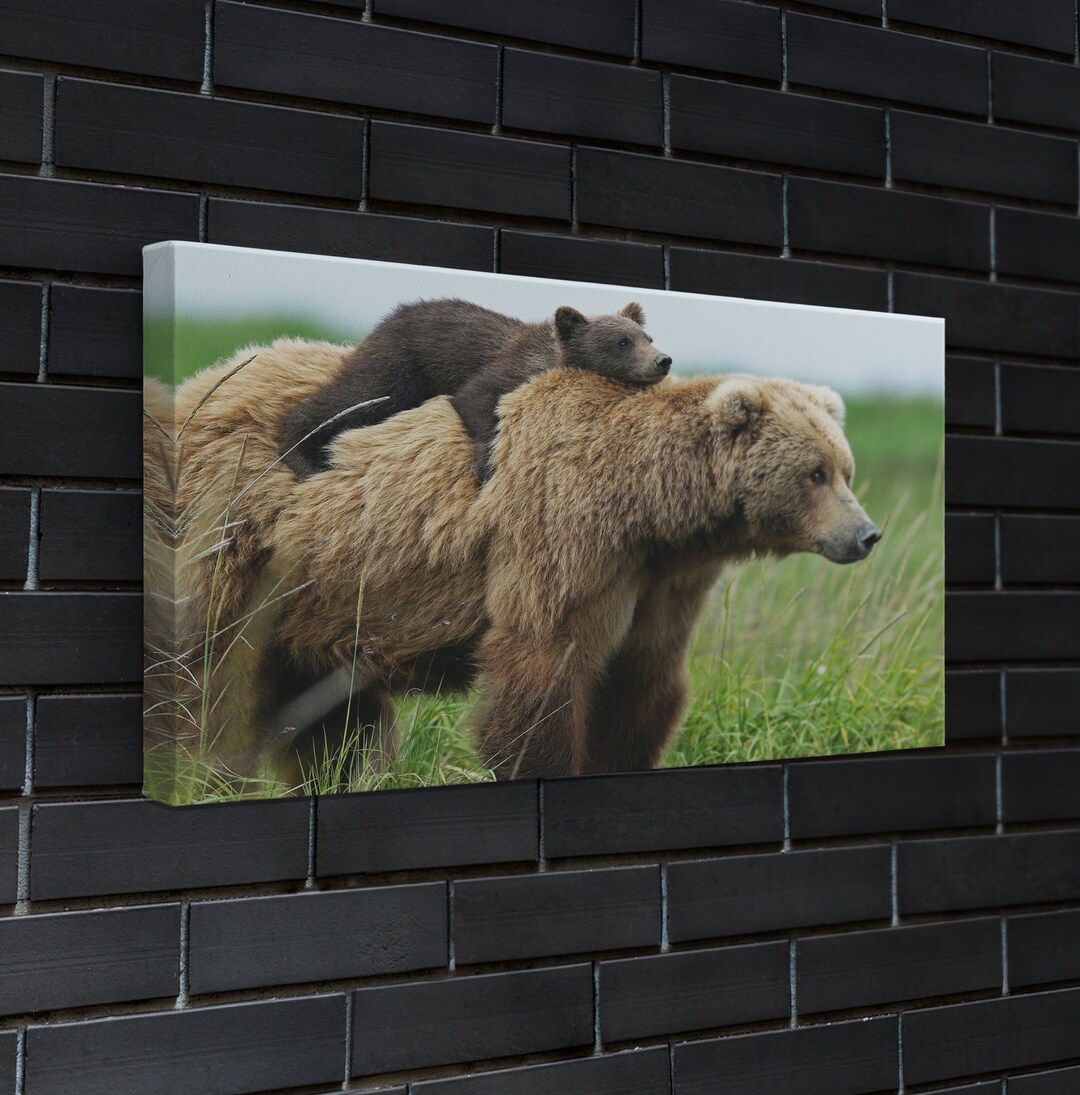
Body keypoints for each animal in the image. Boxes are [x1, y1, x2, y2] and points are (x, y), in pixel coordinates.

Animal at [146, 338, 880, 786]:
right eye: (815, 473)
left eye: (845, 468)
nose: (867, 533)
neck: (650, 510)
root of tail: (195, 389)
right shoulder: (562, 535)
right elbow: (542, 663)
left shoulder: (660, 580)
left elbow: (642, 682)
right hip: (238, 535)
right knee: (206, 668)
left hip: (316, 596)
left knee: (328, 708)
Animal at [278, 297, 672, 481]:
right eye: (622, 342)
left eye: (647, 337)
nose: (663, 360)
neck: (549, 358)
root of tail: (386, 319)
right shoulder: (505, 368)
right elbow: (476, 398)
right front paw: (486, 465)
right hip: (399, 364)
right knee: (351, 398)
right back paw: (301, 455)